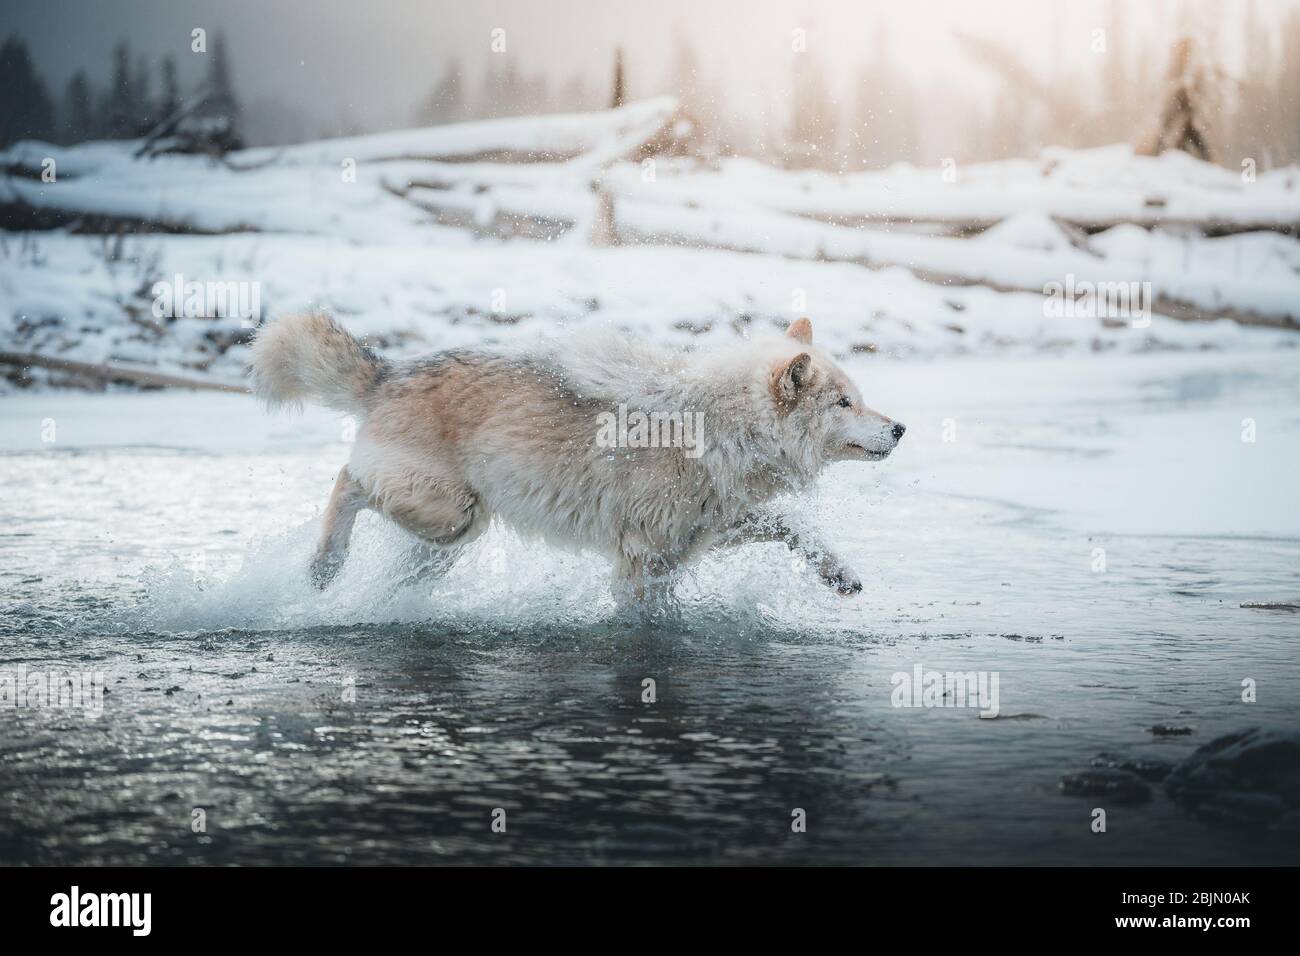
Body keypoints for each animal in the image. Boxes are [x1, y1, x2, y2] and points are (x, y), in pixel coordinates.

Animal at [249, 314, 905, 599]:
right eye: (844, 403)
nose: (900, 428)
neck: (718, 428)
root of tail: (390, 373)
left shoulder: (703, 535)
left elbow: (794, 527)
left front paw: (841, 575)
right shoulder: (643, 560)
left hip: (447, 540)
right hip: (452, 512)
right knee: (346, 479)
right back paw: (324, 568)